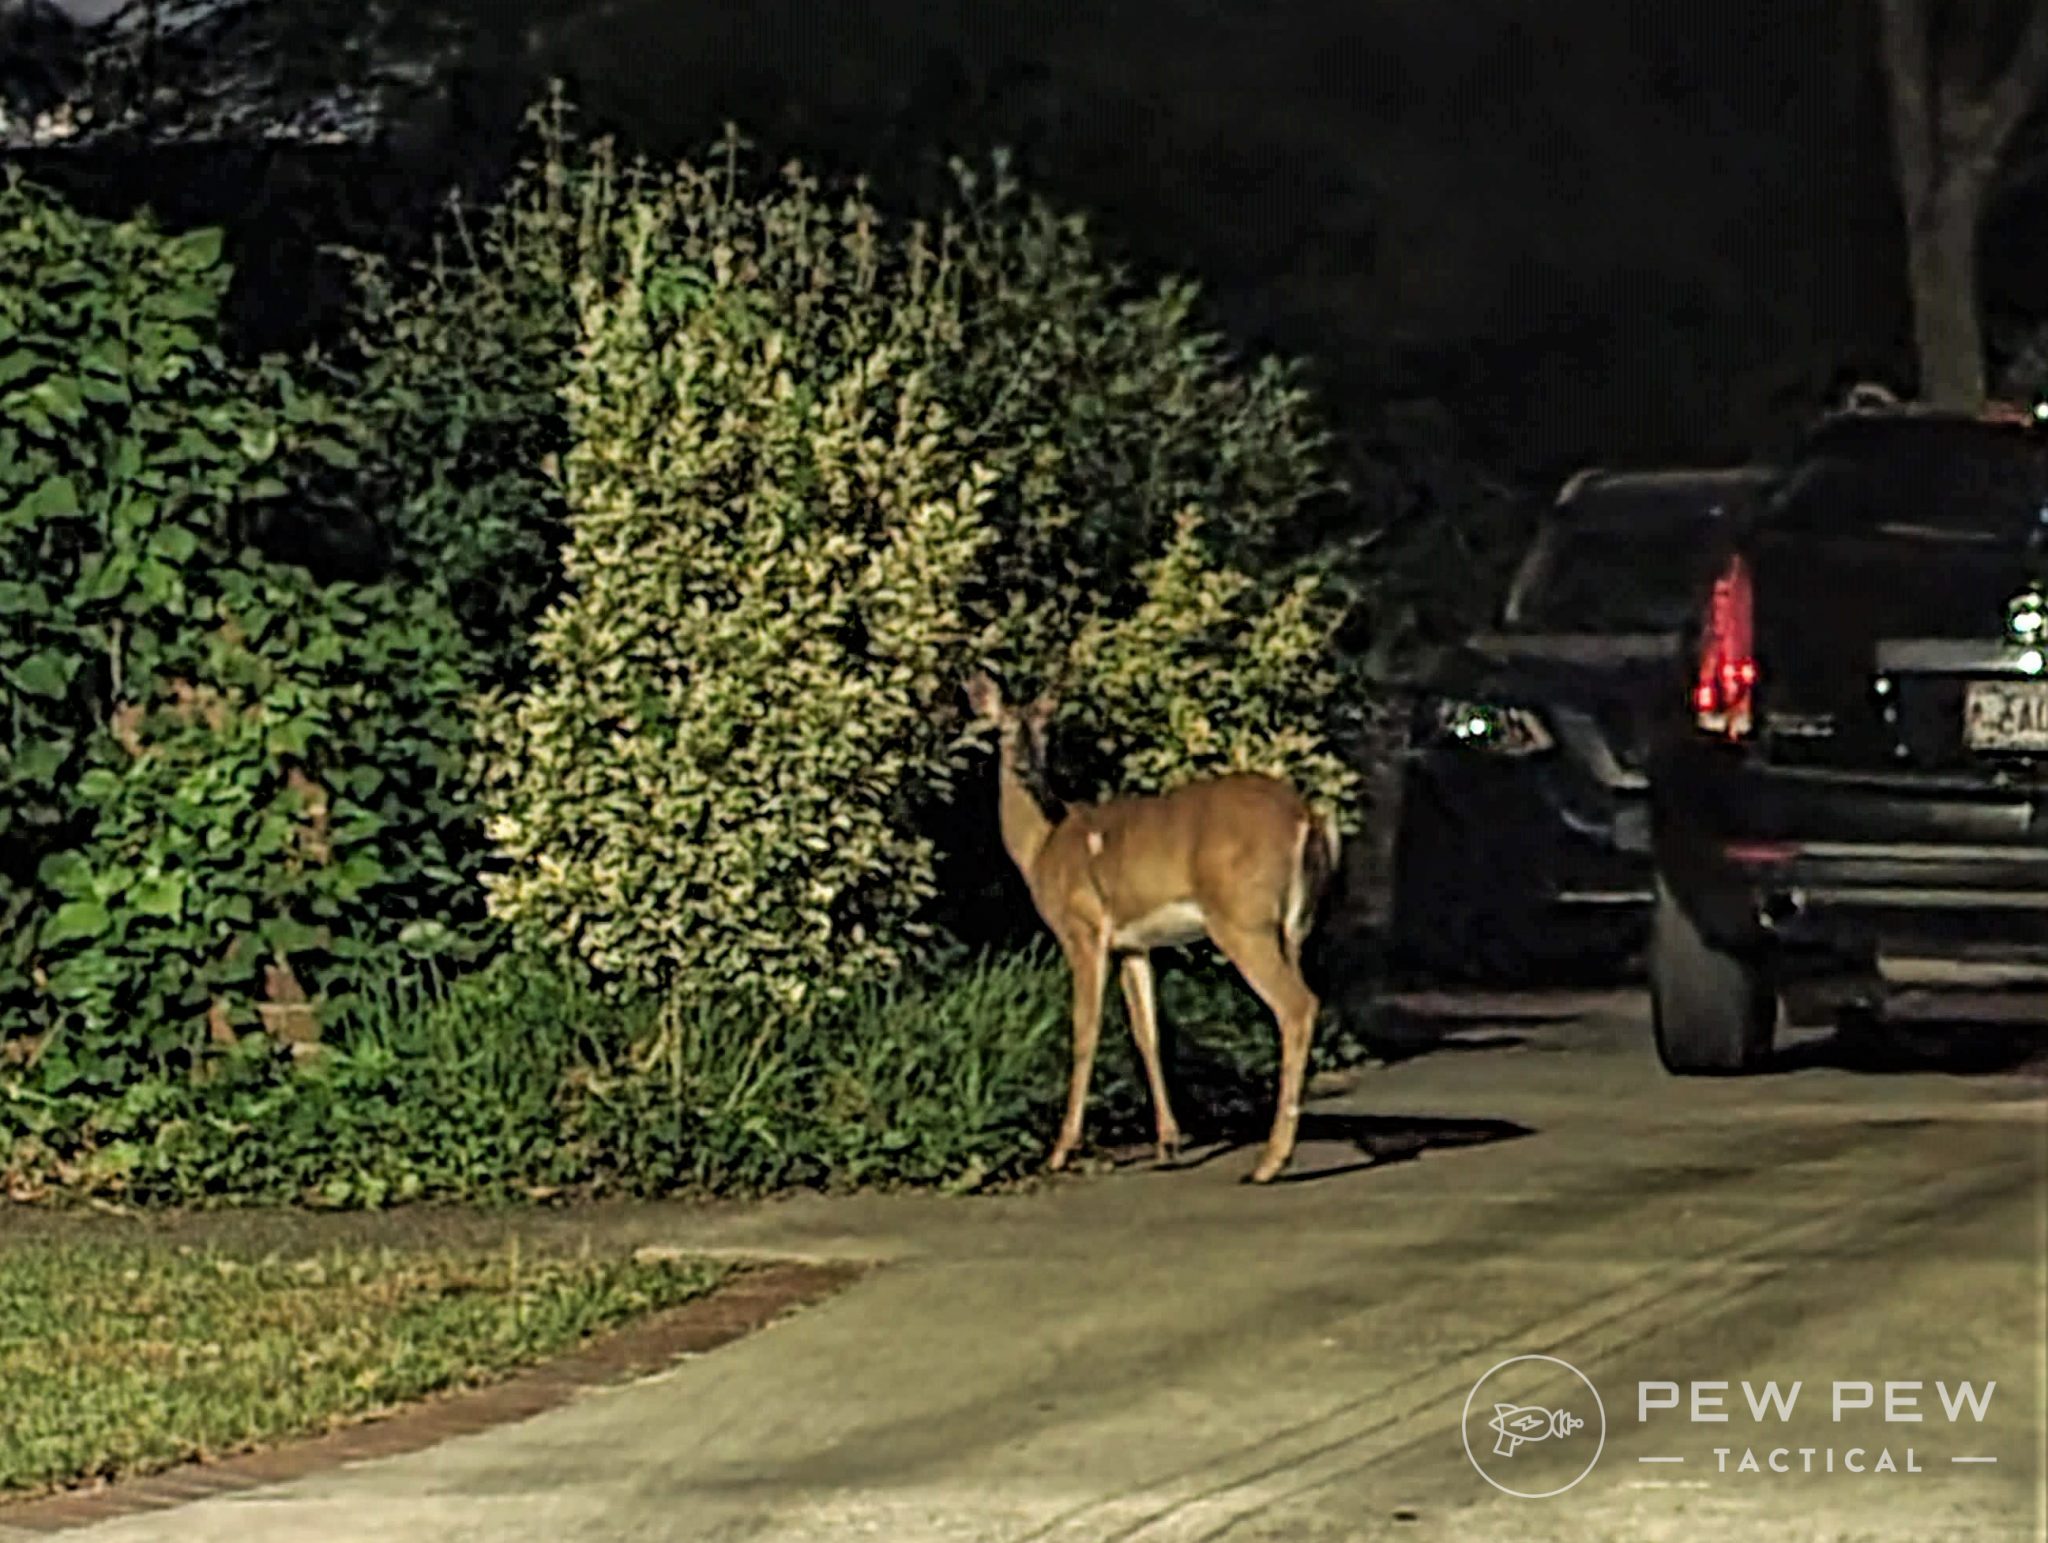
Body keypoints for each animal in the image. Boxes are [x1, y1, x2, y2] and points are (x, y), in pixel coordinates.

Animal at [963, 672, 1341, 1184]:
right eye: (1002, 730)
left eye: (1044, 731)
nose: (1024, 765)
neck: (1043, 847)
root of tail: (1308, 818)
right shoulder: (1132, 944)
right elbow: (1147, 1032)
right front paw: (1168, 1142)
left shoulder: (1083, 929)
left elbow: (1084, 1030)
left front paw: (1061, 1150)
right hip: (1293, 926)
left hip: (1242, 919)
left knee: (1297, 1006)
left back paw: (1269, 1162)